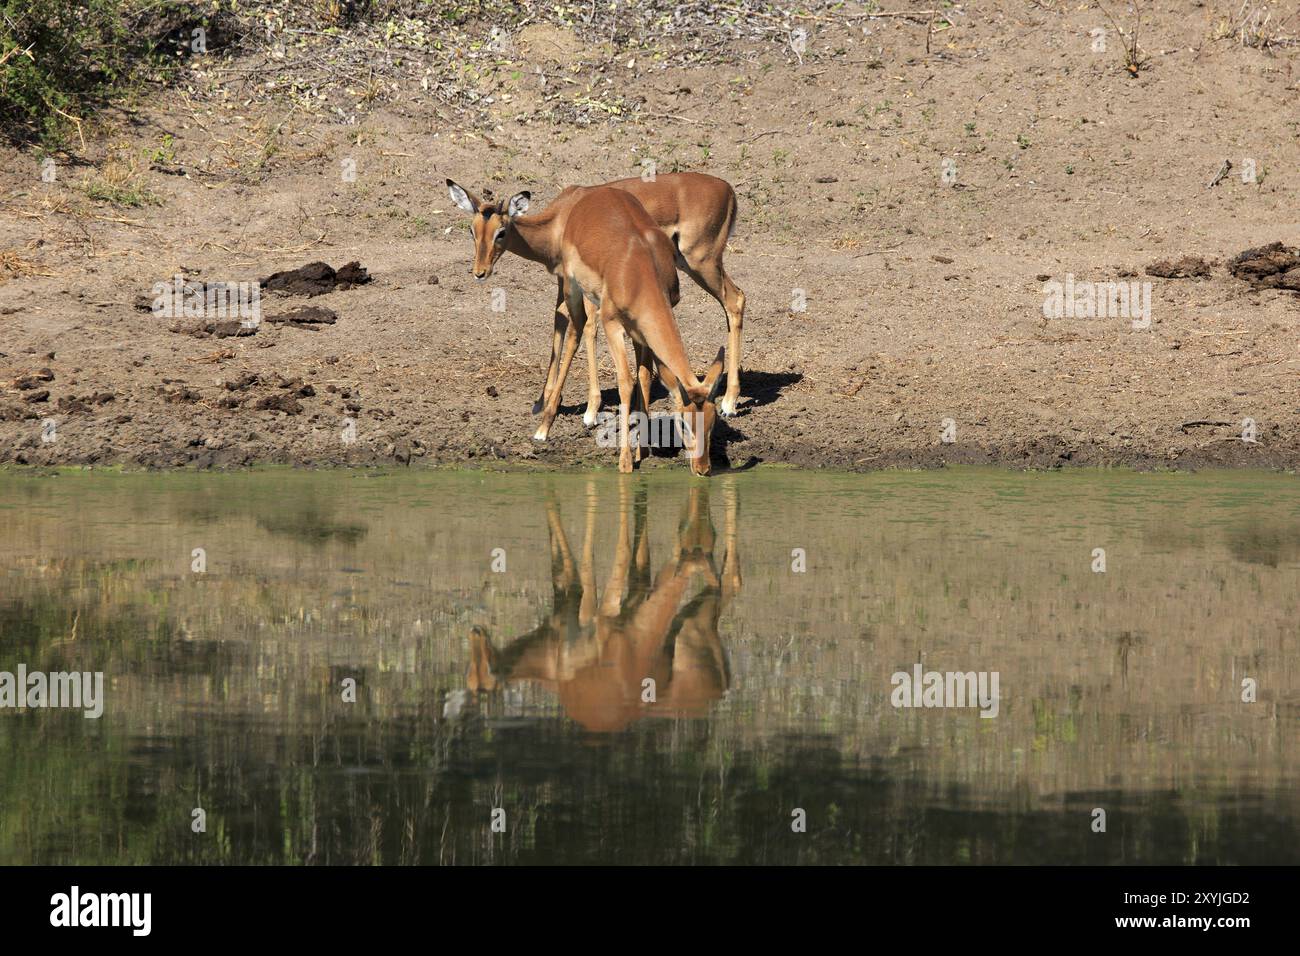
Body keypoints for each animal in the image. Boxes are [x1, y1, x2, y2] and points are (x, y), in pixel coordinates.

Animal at [445, 172, 746, 422]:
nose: (480, 272)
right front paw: (544, 402)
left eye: (501, 232)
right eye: (472, 230)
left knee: (736, 299)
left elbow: (587, 329)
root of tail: (728, 190)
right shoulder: (563, 280)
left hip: (701, 263)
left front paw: (589, 410)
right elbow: (559, 322)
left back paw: (729, 404)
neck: (561, 217)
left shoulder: (581, 286)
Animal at [465, 479, 741, 733]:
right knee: (728, 582)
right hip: (694, 612)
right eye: (471, 676)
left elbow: (580, 573)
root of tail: (721, 685)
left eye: (485, 678)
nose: (475, 631)